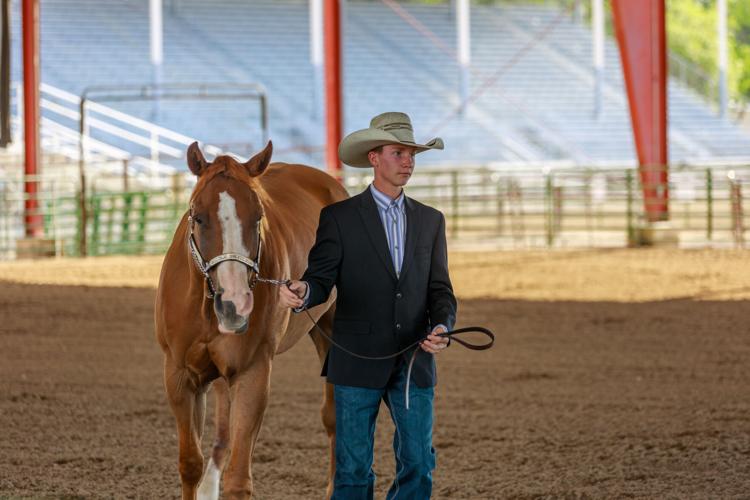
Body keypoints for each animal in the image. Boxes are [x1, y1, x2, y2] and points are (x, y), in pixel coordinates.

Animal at [155, 141, 348, 499]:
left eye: (258, 217)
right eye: (197, 216)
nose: (235, 302)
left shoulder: (252, 373)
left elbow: (238, 480)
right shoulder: (179, 374)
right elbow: (190, 463)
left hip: (329, 330)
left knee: (334, 418)